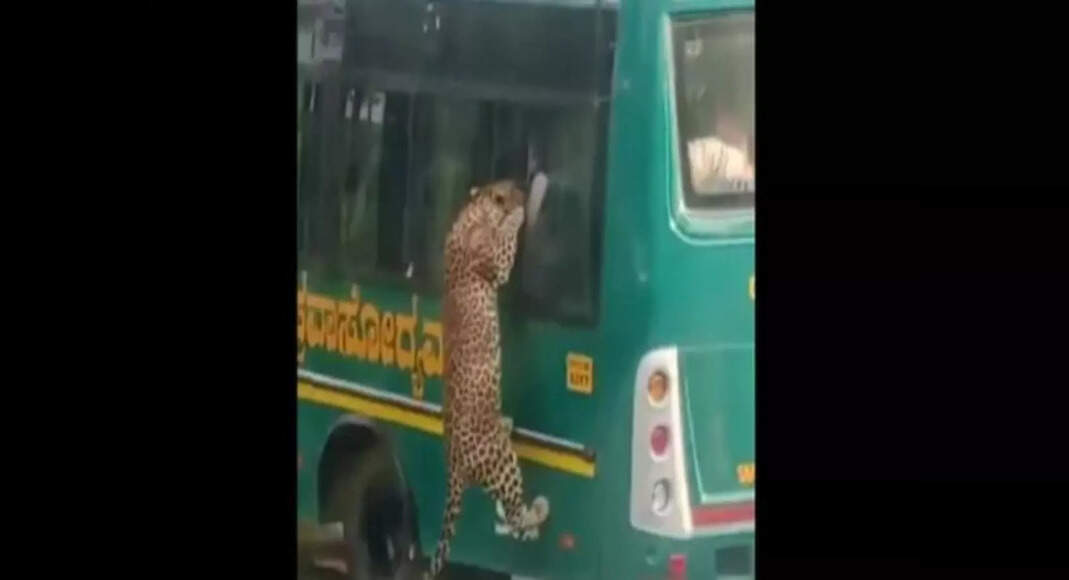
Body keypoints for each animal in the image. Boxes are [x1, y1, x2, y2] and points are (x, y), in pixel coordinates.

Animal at [426, 180, 550, 579]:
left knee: (509, 516)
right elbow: (505, 239)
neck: (472, 211)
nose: (523, 187)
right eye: (511, 187)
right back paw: (536, 511)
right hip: (502, 462)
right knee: (512, 516)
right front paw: (518, 212)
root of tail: (453, 466)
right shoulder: (495, 263)